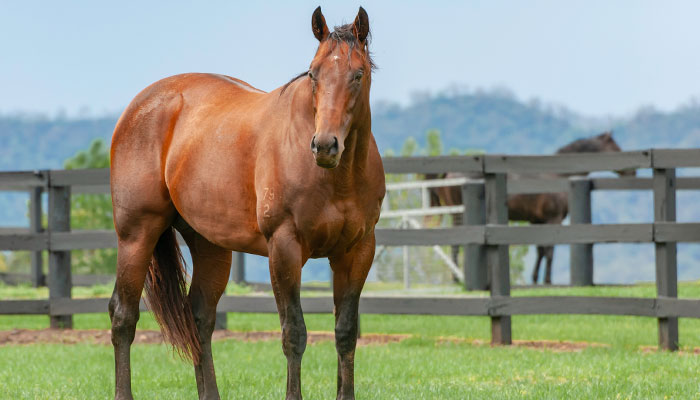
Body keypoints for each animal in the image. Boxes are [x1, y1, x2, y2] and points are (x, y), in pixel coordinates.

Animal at [108, 7, 384, 400]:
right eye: (313, 74)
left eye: (357, 74)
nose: (325, 145)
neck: (337, 179)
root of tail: (140, 106)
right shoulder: (284, 248)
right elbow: (294, 334)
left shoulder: (357, 251)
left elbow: (345, 333)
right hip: (137, 234)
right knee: (123, 315)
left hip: (210, 245)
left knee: (200, 319)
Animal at [428, 132, 634, 285]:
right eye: (616, 147)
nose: (632, 171)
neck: (559, 176)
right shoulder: (553, 220)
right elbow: (549, 251)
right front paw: (548, 281)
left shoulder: (537, 221)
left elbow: (540, 250)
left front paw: (535, 279)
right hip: (460, 214)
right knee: (456, 243)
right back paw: (456, 279)